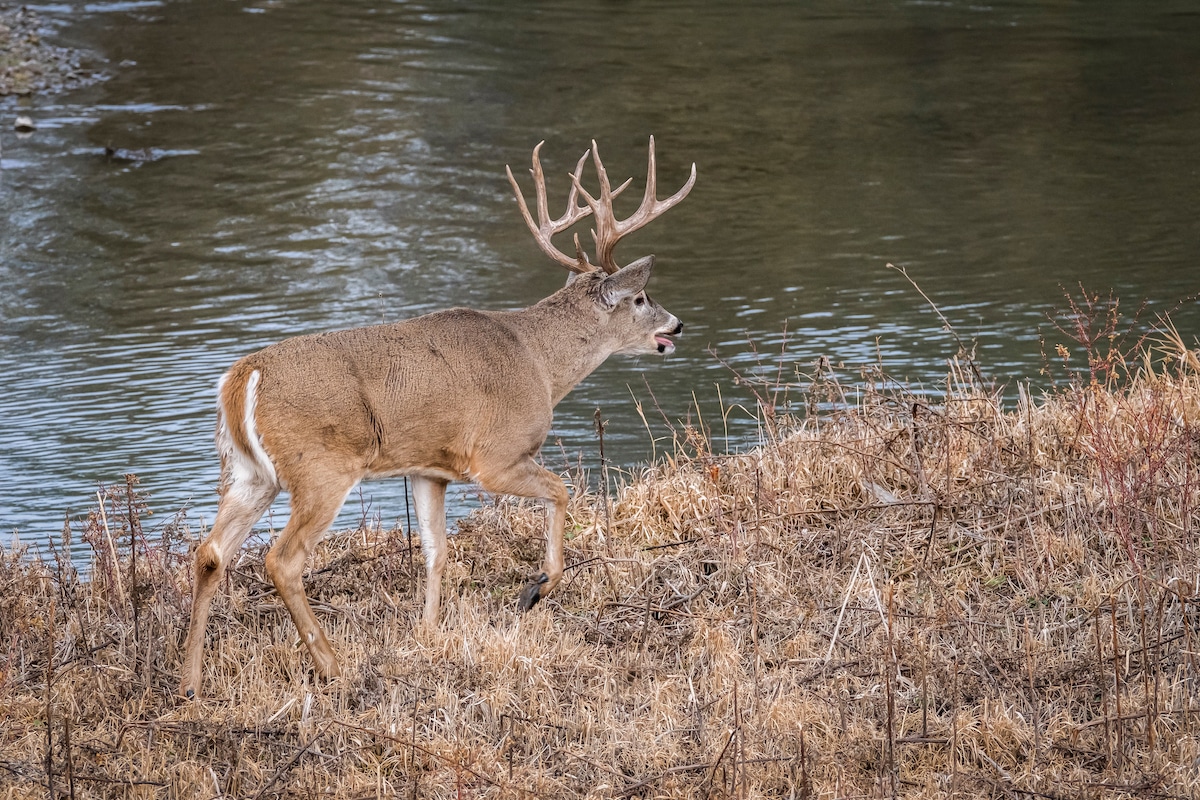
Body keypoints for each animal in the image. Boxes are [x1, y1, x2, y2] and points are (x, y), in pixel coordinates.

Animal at [179, 137, 696, 698]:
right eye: (641, 298)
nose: (677, 324)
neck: (538, 361)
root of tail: (242, 378)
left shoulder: (429, 469)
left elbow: (435, 550)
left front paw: (427, 631)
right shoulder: (495, 457)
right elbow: (561, 491)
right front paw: (536, 588)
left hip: (249, 474)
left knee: (210, 553)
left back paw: (190, 681)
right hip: (321, 468)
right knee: (282, 559)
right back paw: (333, 666)